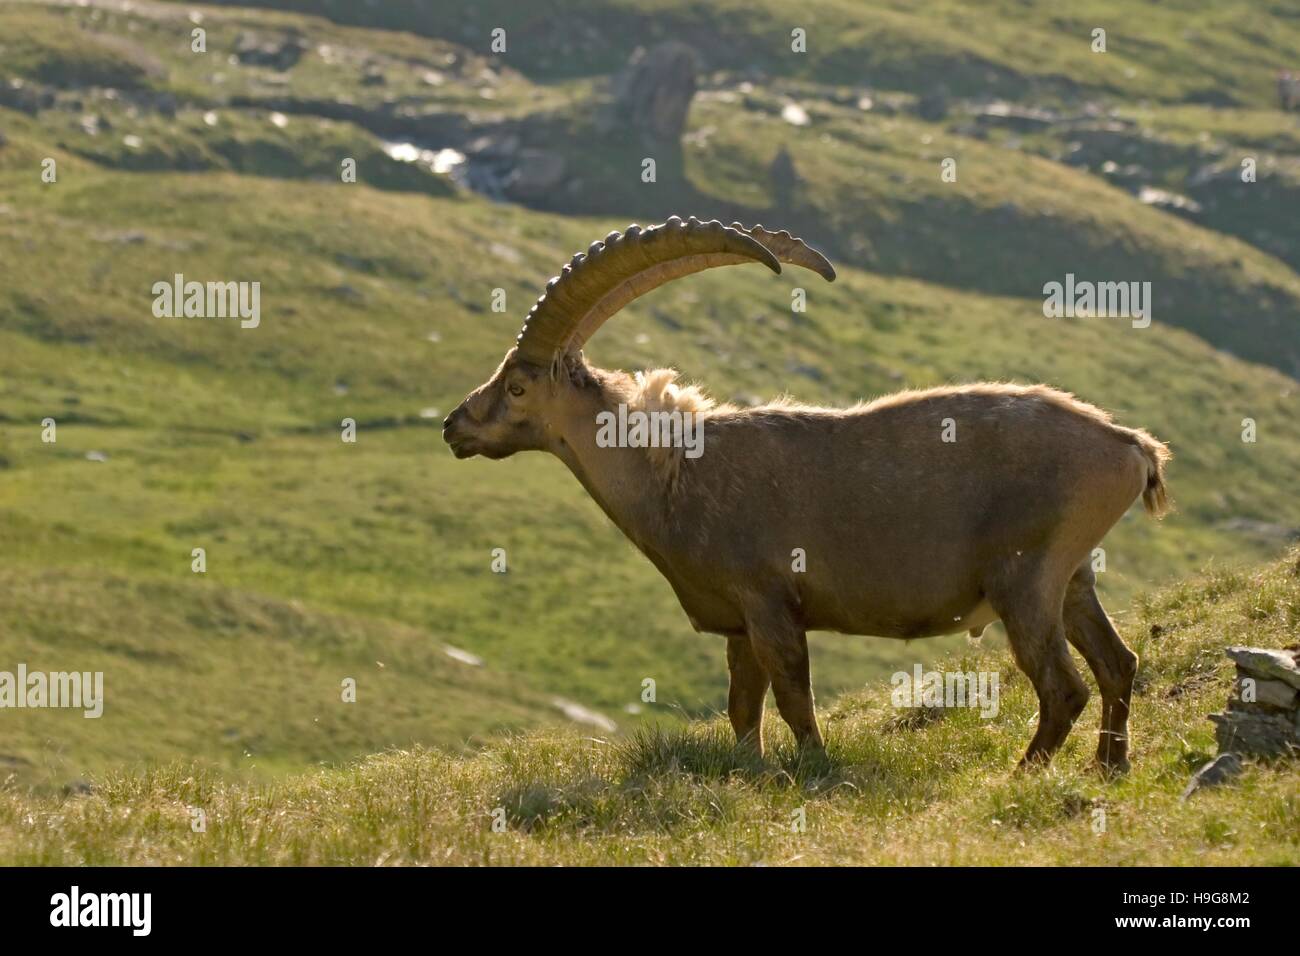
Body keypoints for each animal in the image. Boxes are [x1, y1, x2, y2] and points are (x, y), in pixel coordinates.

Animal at [443, 216, 1171, 771]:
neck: (672, 471)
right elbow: (743, 706)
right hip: (1073, 577)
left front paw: (815, 771)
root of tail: (1130, 445)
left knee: (1063, 687)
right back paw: (1110, 767)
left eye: (517, 386)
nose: (454, 426)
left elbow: (794, 698)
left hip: (1026, 579)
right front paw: (750, 772)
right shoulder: (737, 620)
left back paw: (1023, 775)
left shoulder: (769, 602)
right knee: (1118, 663)